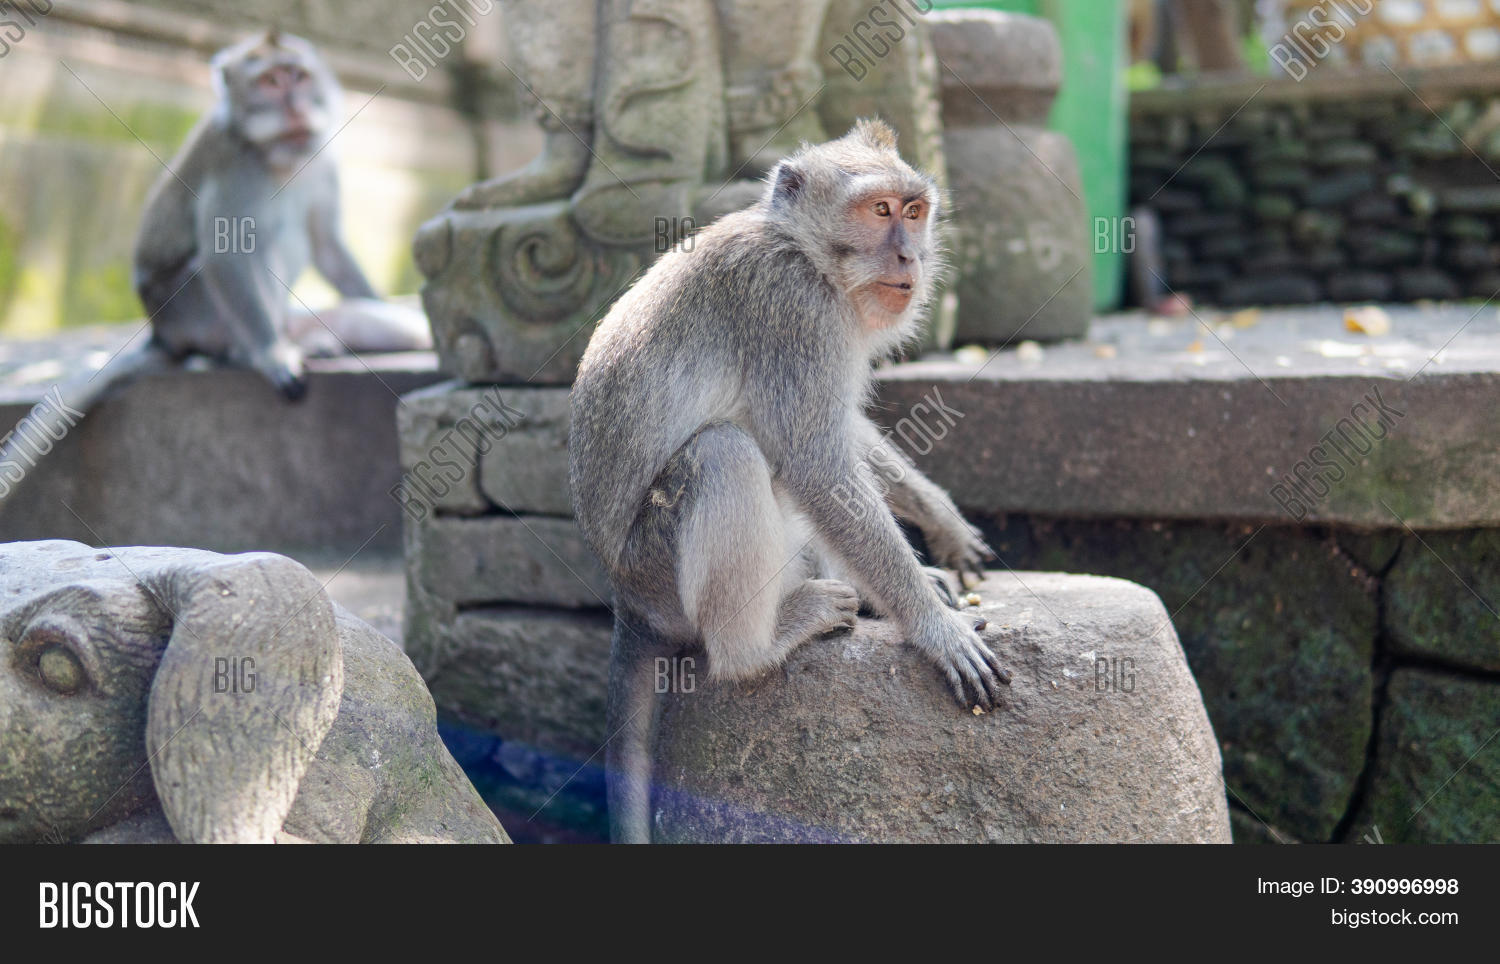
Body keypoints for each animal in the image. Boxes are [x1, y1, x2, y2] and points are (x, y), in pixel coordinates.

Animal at [0, 30, 430, 512]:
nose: (295, 105)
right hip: (193, 311)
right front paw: (271, 355)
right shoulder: (235, 169)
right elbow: (226, 254)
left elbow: (327, 247)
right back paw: (247, 350)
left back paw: (324, 339)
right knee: (259, 247)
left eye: (297, 75)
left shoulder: (322, 162)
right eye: (271, 82)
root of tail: (162, 334)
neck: (278, 153)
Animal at [568, 120, 1011, 843]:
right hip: (656, 572)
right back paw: (759, 645)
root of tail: (625, 602)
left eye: (915, 211)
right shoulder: (795, 311)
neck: (805, 253)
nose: (910, 257)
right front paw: (934, 627)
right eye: (879, 211)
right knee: (725, 452)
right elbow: (816, 463)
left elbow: (836, 438)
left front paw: (941, 520)